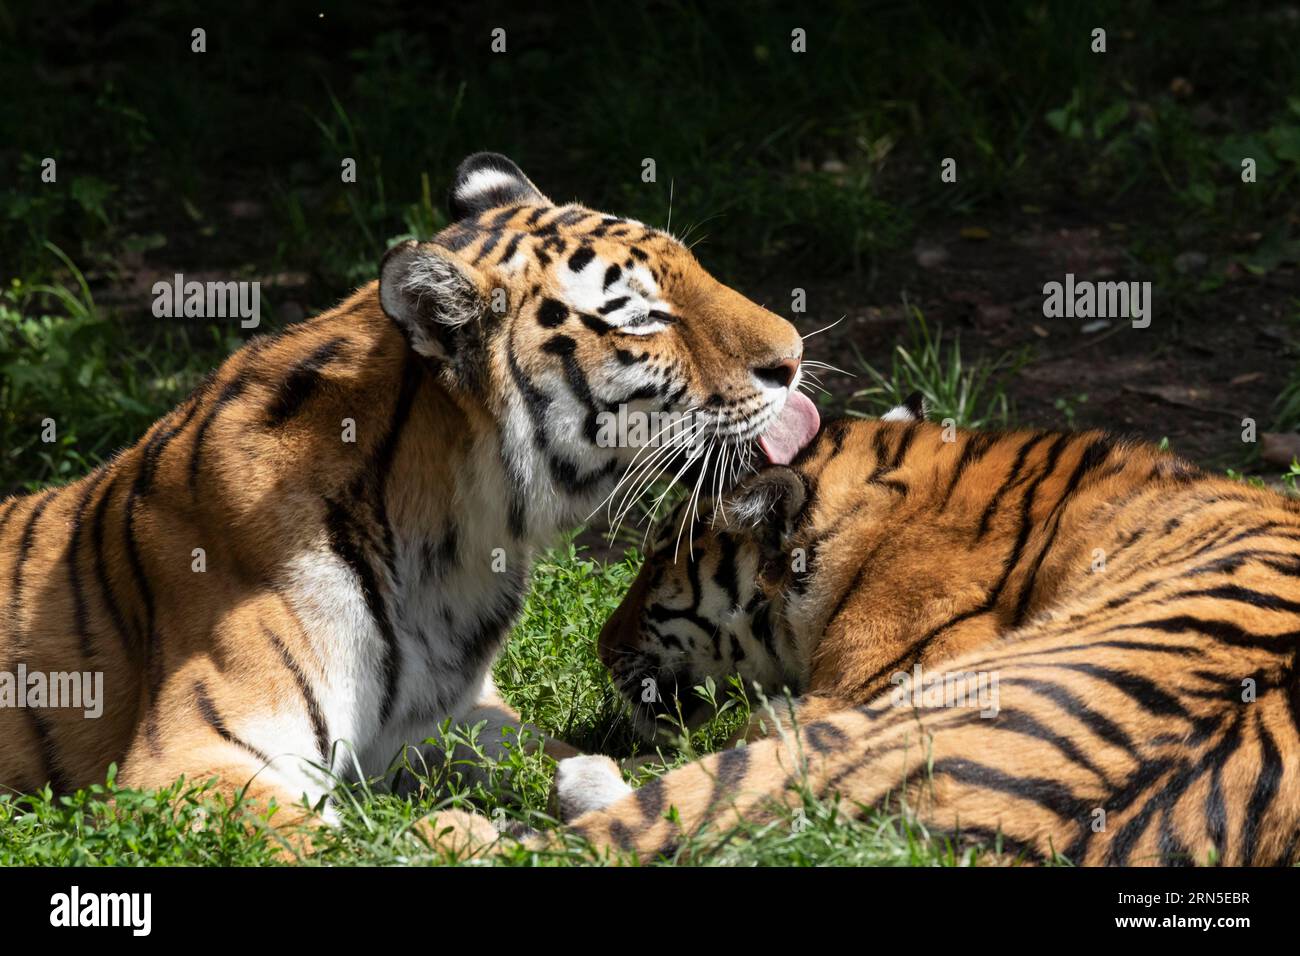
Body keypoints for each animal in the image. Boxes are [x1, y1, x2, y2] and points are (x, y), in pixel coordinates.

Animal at [0, 152, 820, 839]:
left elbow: (570, 755)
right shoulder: (189, 762)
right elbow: (358, 845)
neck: (459, 540)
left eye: (698, 268)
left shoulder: (452, 719)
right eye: (646, 317)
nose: (795, 355)